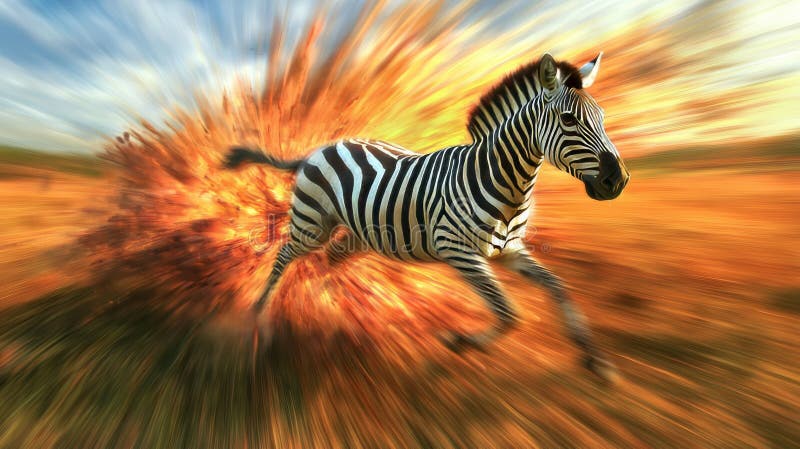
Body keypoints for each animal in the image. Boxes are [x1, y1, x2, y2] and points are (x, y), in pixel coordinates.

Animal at [225, 52, 630, 380]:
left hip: (362, 231)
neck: (504, 180)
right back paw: (258, 317)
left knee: (329, 261)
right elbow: (508, 311)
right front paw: (461, 340)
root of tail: (318, 149)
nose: (618, 180)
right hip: (312, 223)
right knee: (284, 257)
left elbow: (558, 288)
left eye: (602, 117)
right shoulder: (456, 248)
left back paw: (331, 313)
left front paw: (596, 361)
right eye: (569, 120)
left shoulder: (510, 250)